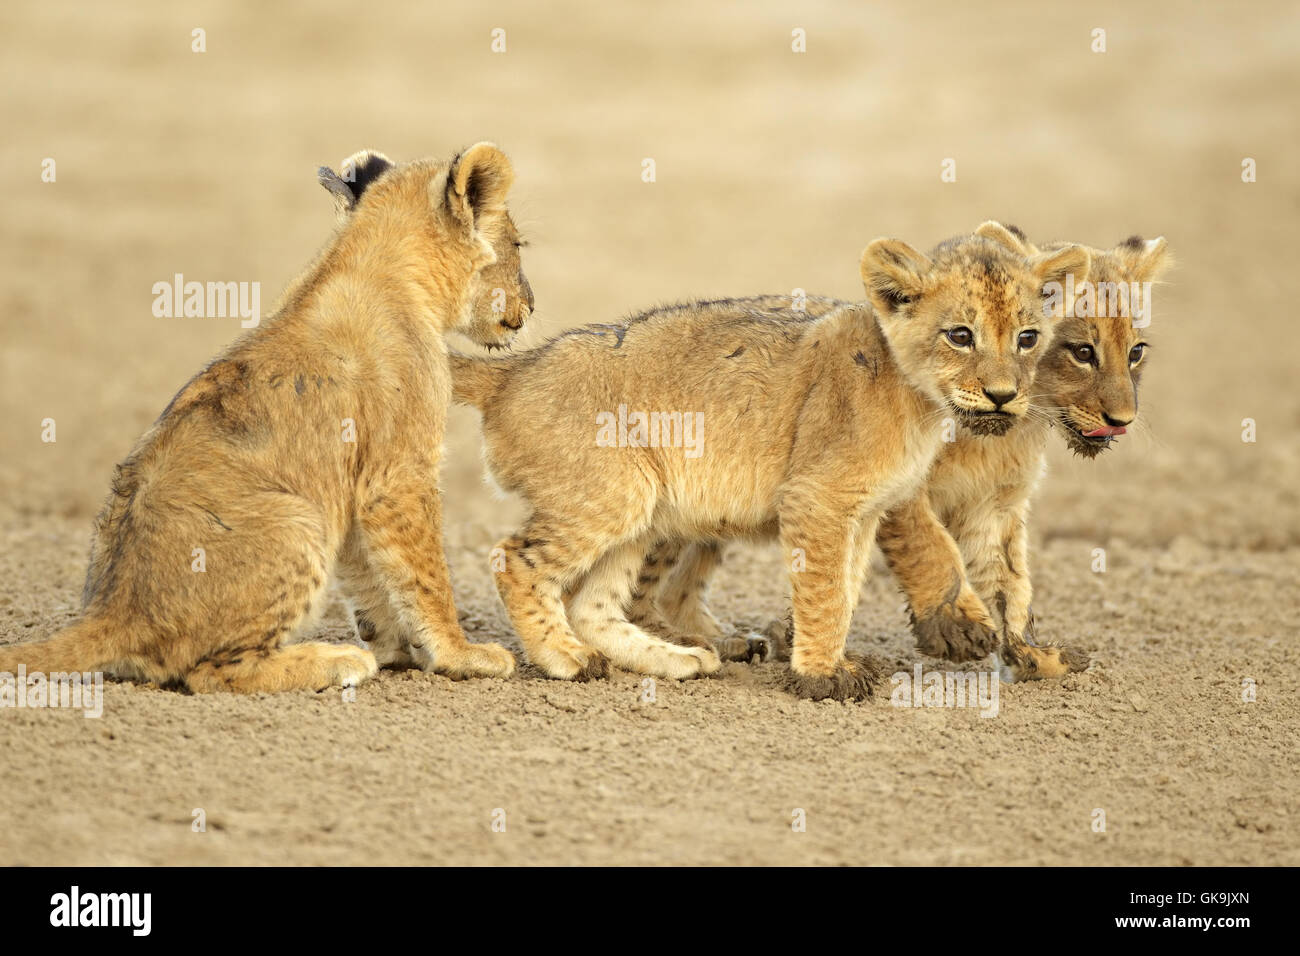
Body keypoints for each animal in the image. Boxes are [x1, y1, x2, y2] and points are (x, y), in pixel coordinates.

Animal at [0, 143, 531, 693]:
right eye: (518, 245)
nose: (531, 306)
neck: (375, 261)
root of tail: (113, 609)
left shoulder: (350, 485)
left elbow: (366, 573)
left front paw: (394, 647)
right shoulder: (398, 474)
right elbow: (426, 575)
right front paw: (461, 654)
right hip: (298, 520)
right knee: (211, 672)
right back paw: (334, 660)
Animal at [450, 234, 1090, 699]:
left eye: (1028, 337)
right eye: (960, 335)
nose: (1004, 396)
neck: (920, 401)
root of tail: (515, 369)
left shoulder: (865, 511)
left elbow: (846, 591)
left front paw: (832, 659)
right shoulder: (817, 496)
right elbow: (827, 590)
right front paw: (821, 677)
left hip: (641, 505)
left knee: (593, 605)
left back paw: (680, 660)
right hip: (612, 493)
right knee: (513, 559)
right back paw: (565, 660)